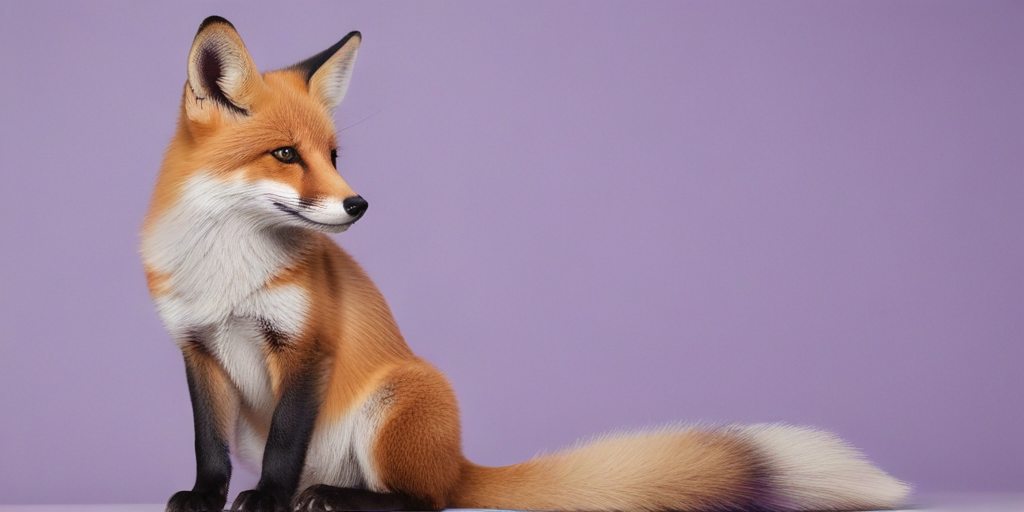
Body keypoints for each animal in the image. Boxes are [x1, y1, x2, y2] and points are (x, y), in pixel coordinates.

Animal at [141, 16, 910, 512]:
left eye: (333, 156)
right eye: (285, 155)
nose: (357, 204)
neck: (227, 270)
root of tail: (459, 461)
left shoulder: (309, 348)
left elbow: (282, 446)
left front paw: (268, 498)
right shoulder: (196, 347)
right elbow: (209, 447)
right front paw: (206, 497)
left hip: (402, 399)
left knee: (425, 500)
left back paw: (330, 497)